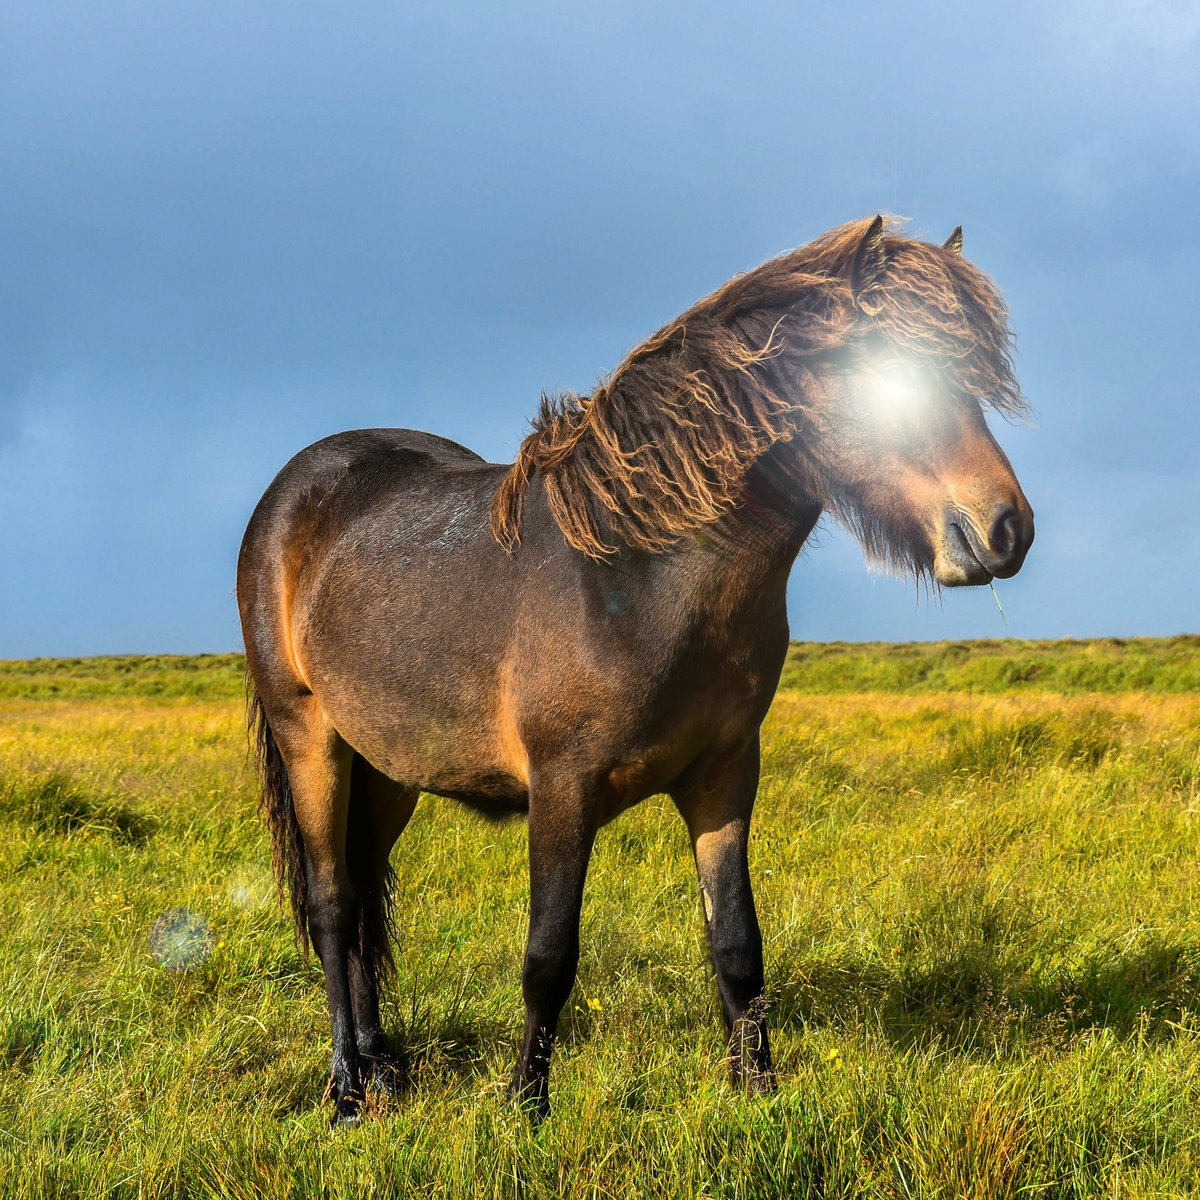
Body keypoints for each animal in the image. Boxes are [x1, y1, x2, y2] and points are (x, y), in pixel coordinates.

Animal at [237, 215, 1034, 1124]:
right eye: (891, 377)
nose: (1007, 528)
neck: (641, 576)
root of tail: (297, 491)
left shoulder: (725, 777)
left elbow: (737, 944)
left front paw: (758, 1092)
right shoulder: (562, 789)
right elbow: (549, 955)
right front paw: (526, 1106)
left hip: (389, 767)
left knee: (368, 893)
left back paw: (384, 1066)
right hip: (311, 736)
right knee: (334, 904)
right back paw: (345, 1088)